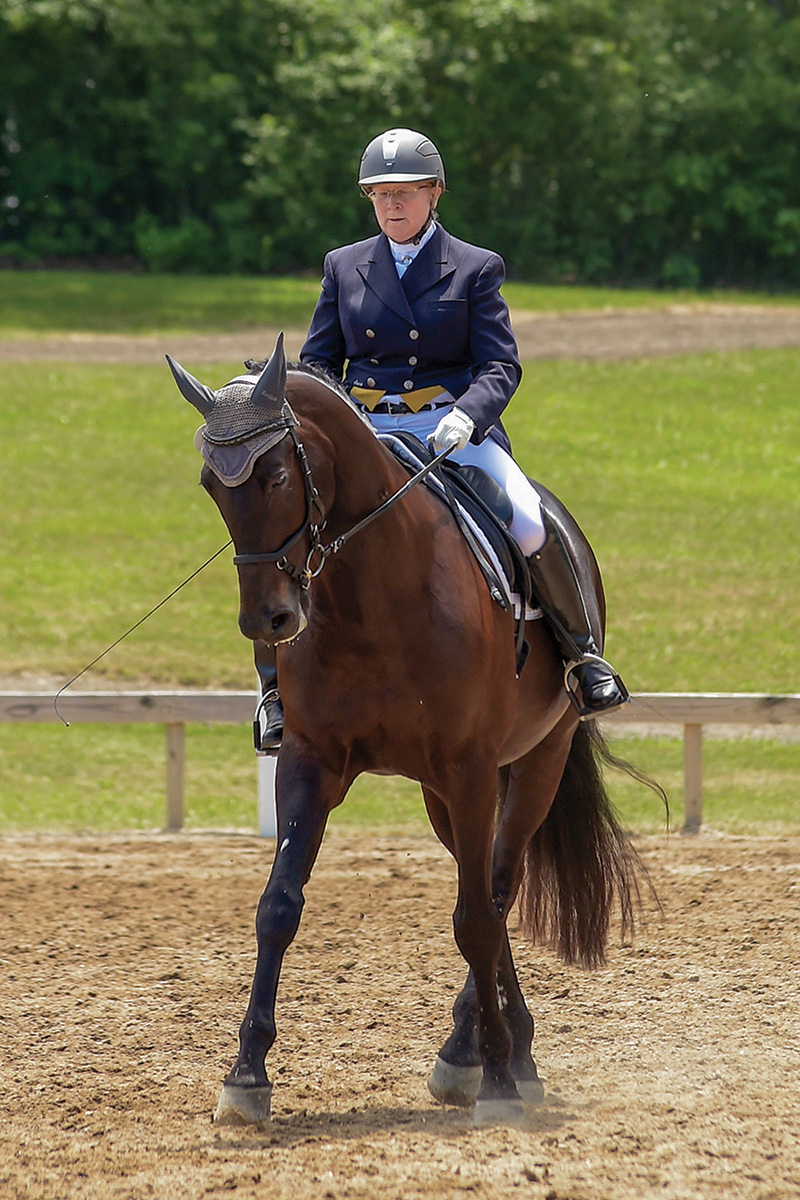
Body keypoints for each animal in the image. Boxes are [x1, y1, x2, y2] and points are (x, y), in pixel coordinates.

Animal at [167, 333, 645, 1127]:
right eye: (210, 483)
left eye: (275, 474)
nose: (268, 620)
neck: (371, 591)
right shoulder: (311, 761)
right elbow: (278, 906)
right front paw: (247, 1074)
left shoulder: (471, 768)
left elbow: (474, 917)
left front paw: (498, 1084)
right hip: (440, 797)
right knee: (489, 889)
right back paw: (493, 1048)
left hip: (533, 761)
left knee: (499, 886)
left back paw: (487, 1056)